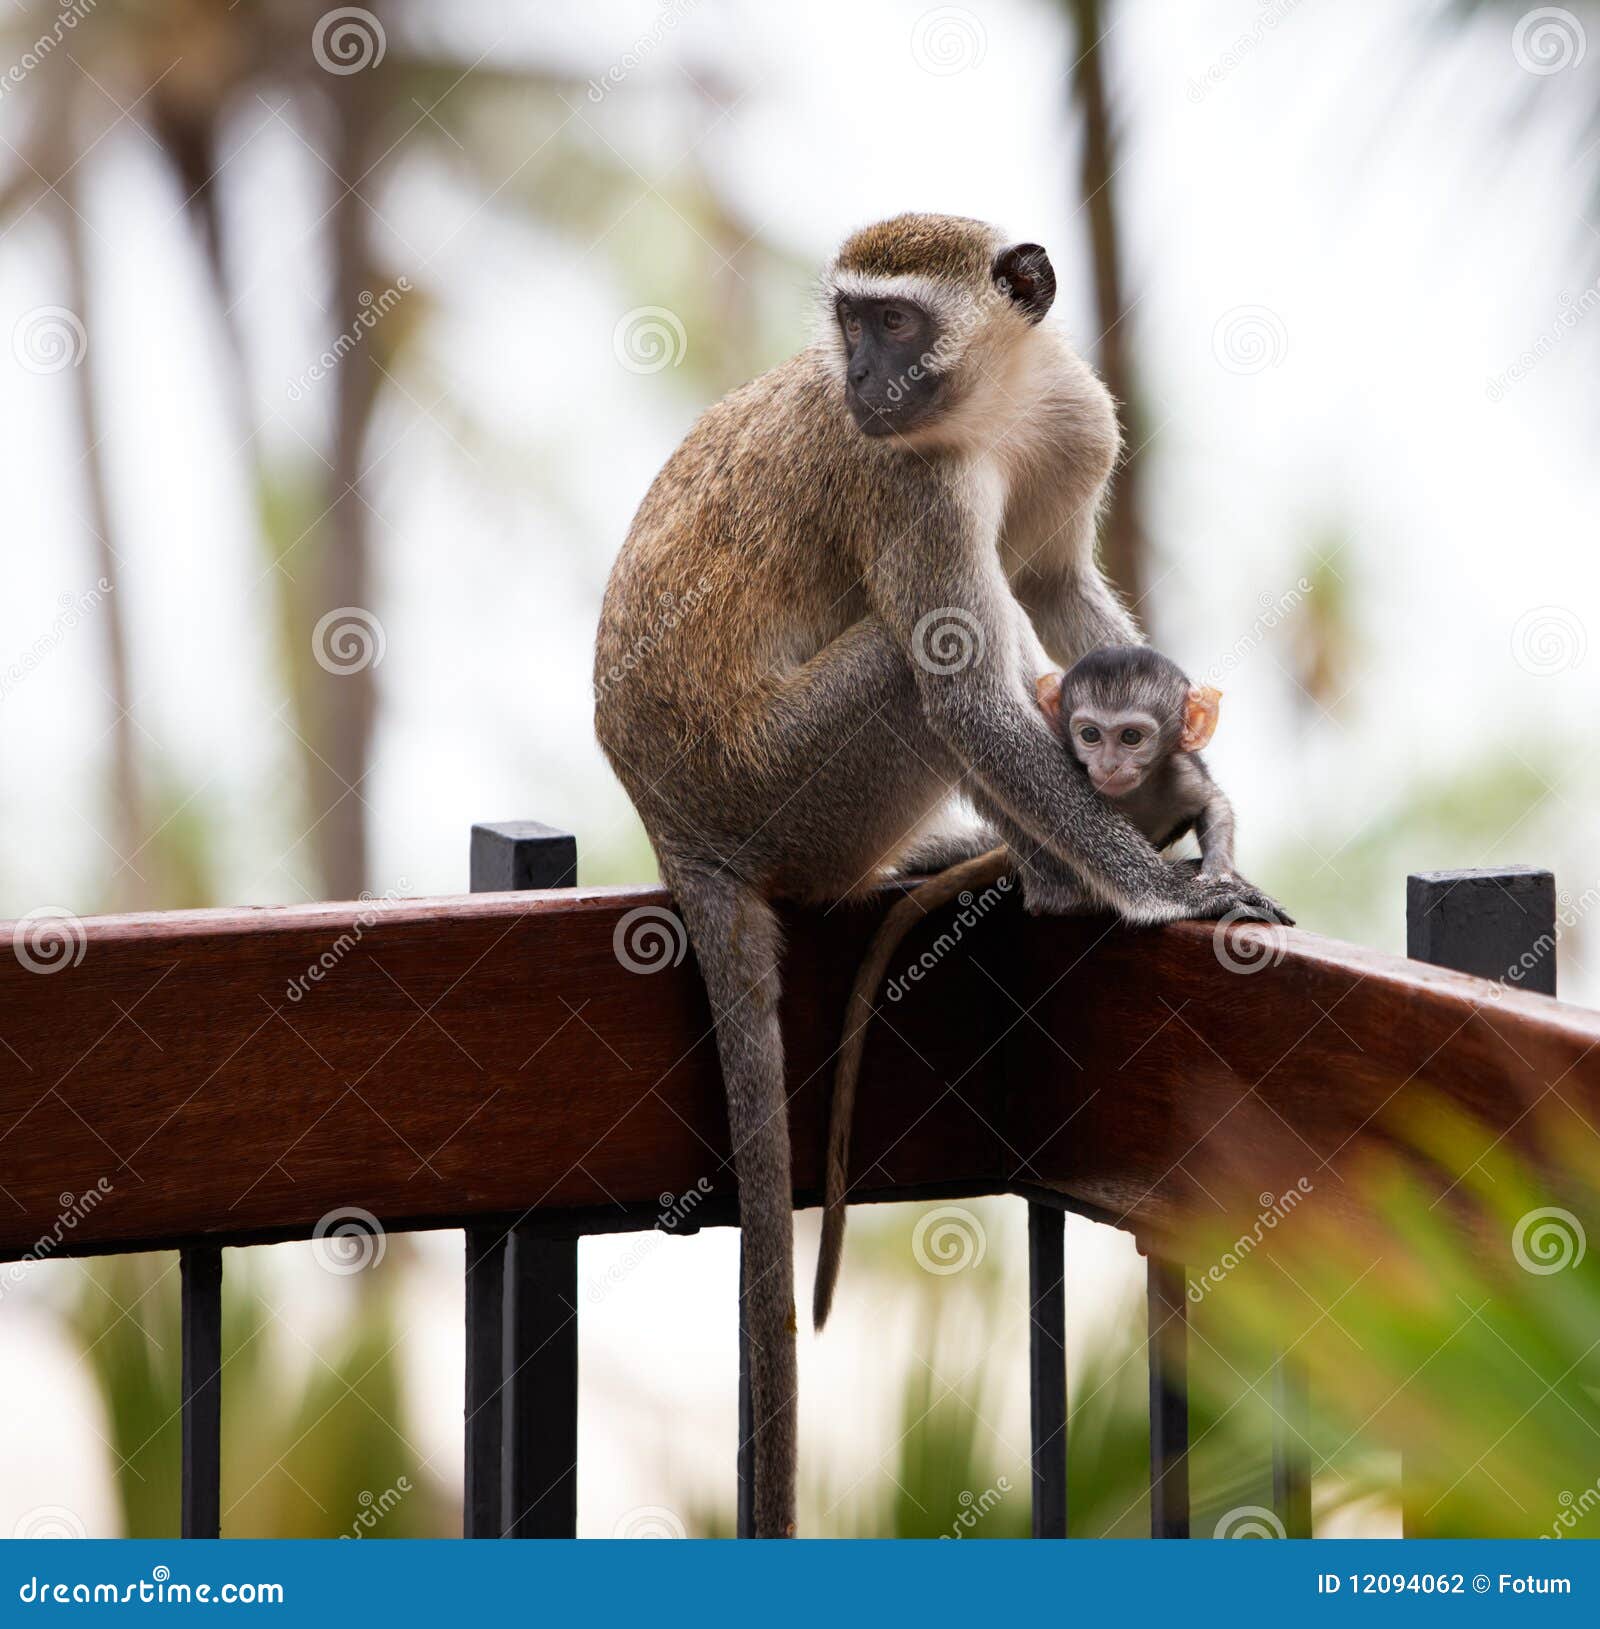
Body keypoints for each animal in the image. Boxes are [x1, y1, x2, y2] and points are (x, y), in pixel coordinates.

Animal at [811, 643, 1272, 1330]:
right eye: (1089, 735)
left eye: (1132, 737)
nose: (1107, 765)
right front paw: (1193, 889)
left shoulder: (1179, 773)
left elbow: (1212, 806)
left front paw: (1218, 870)